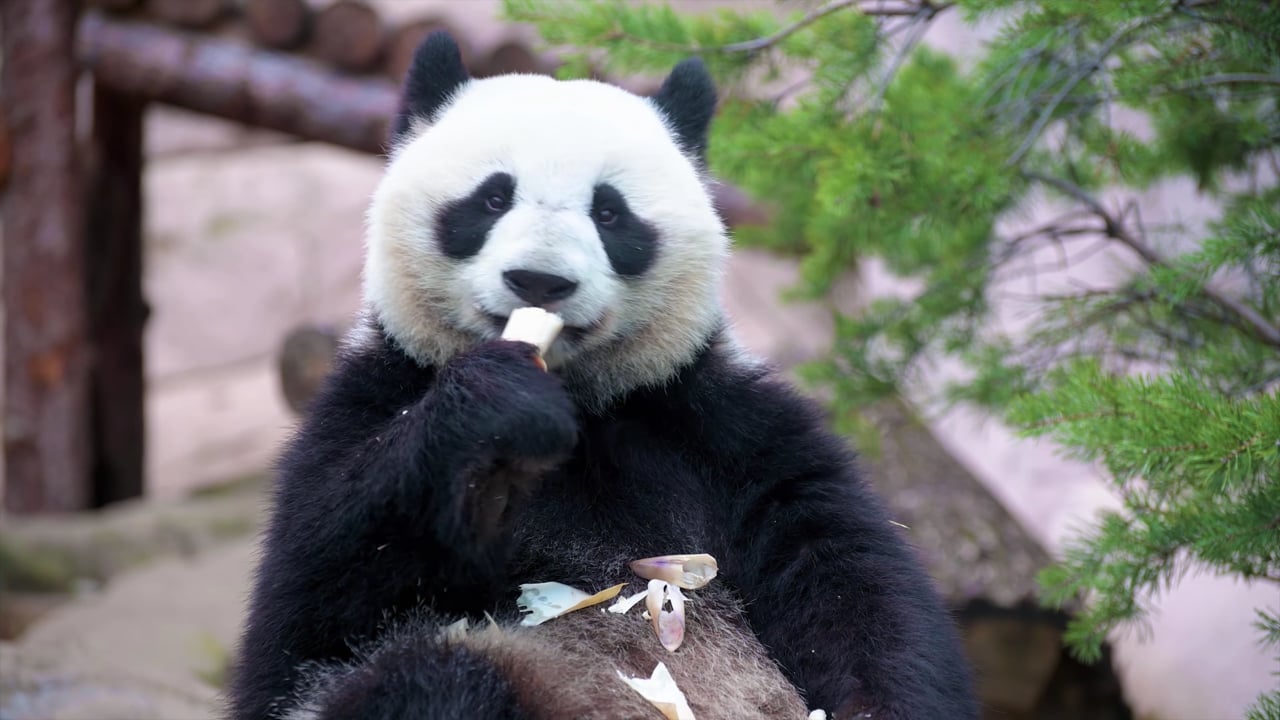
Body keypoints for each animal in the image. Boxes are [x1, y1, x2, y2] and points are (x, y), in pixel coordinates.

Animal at [227, 31, 979, 720]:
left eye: (610, 212)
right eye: (492, 199)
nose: (540, 281)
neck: (582, 402)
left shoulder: (715, 423)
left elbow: (849, 577)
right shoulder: (370, 398)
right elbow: (309, 607)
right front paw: (497, 410)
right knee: (429, 678)